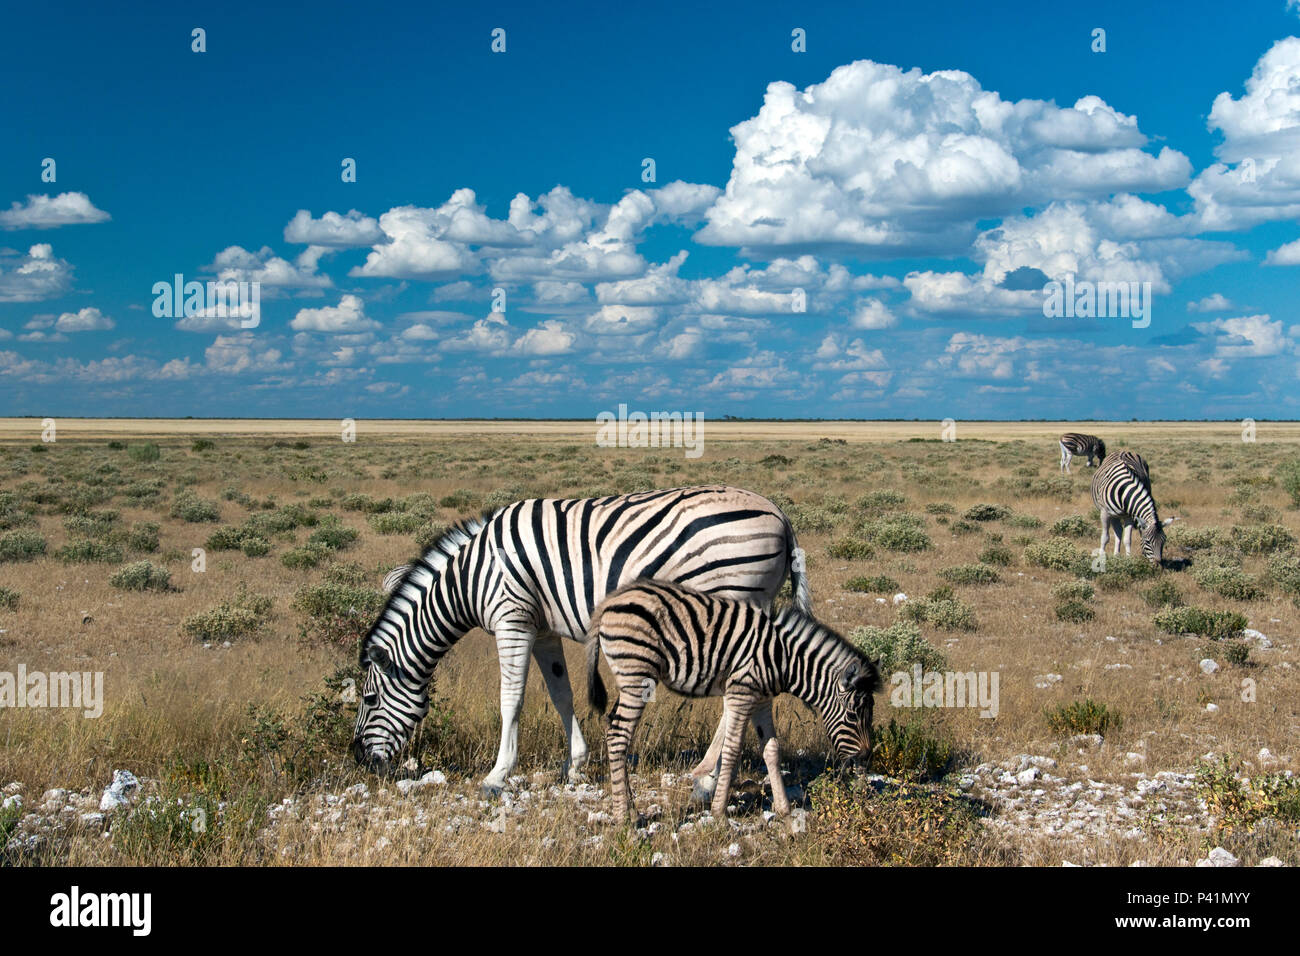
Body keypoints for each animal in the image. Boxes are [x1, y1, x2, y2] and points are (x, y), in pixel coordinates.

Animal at [354, 485, 812, 796]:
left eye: (369, 699)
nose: (359, 759)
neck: (470, 579)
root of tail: (780, 516)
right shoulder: (541, 629)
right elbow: (561, 694)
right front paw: (574, 765)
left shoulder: (512, 618)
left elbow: (511, 699)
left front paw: (497, 775)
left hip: (735, 599)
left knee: (737, 697)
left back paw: (706, 778)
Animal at [585, 580, 879, 824]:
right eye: (853, 716)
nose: (866, 758)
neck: (782, 657)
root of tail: (608, 603)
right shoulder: (742, 692)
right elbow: (732, 749)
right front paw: (718, 813)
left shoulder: (762, 700)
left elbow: (771, 750)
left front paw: (784, 809)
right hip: (637, 676)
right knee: (619, 735)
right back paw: (623, 818)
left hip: (630, 680)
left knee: (613, 729)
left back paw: (632, 810)